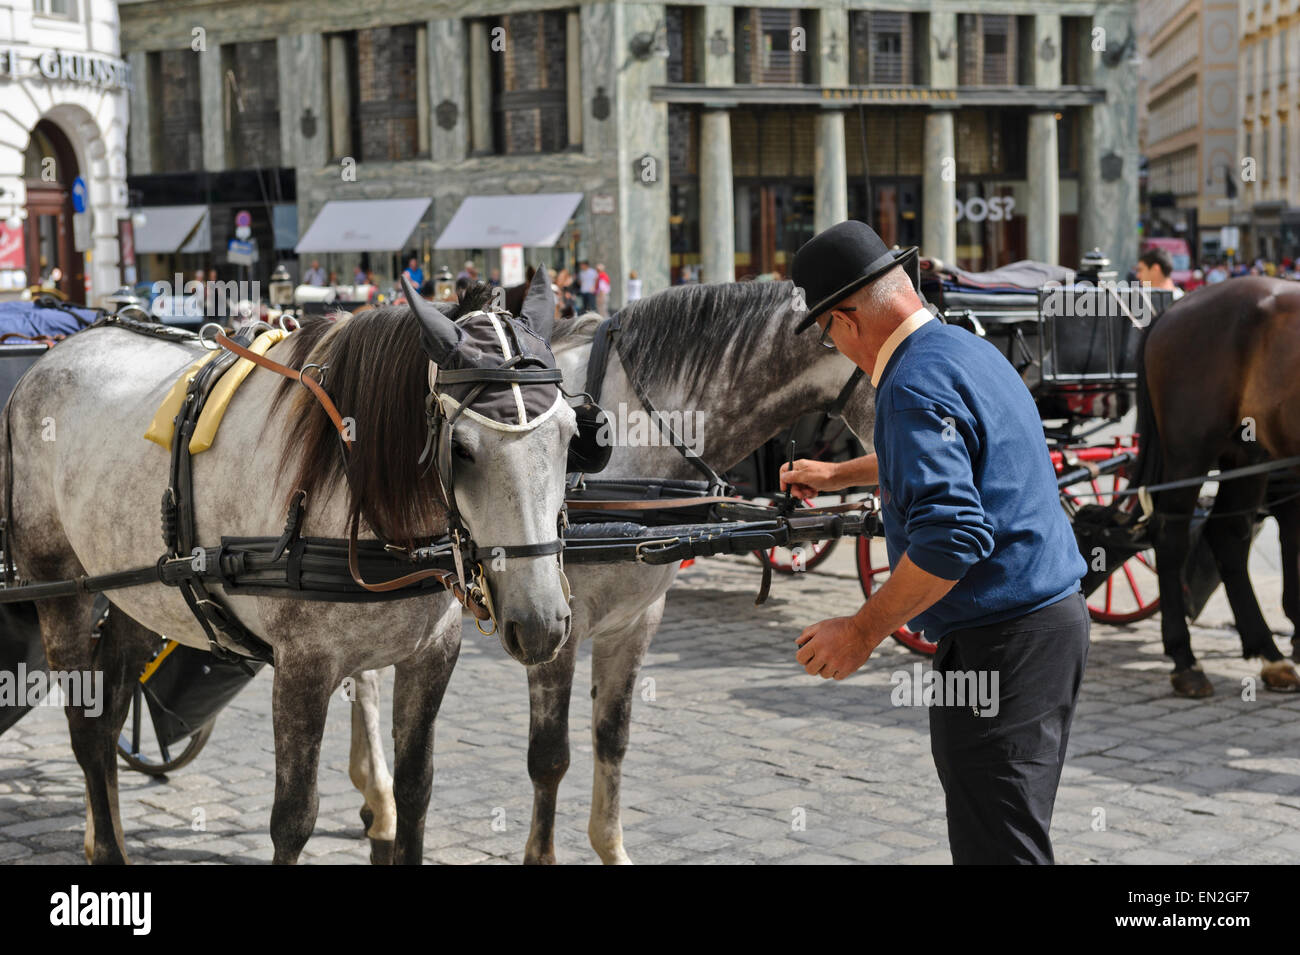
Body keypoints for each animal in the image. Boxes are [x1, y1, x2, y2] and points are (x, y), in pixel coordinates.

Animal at [2, 270, 577, 863]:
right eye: (460, 448)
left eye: (572, 435)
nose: (541, 622)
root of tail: (58, 353)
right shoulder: (304, 666)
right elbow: (294, 818)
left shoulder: (432, 655)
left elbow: (416, 790)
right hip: (60, 590)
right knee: (87, 730)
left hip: (140, 593)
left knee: (110, 708)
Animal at [345, 279, 874, 863]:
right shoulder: (554, 627)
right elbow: (549, 756)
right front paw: (542, 855)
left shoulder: (635, 622)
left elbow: (612, 737)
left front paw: (610, 845)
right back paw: (381, 803)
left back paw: (373, 799)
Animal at [1133, 275, 1300, 698]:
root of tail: (1175, 309)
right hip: (1188, 454)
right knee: (1171, 537)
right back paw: (1185, 660)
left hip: (1248, 455)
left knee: (1227, 536)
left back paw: (1269, 653)